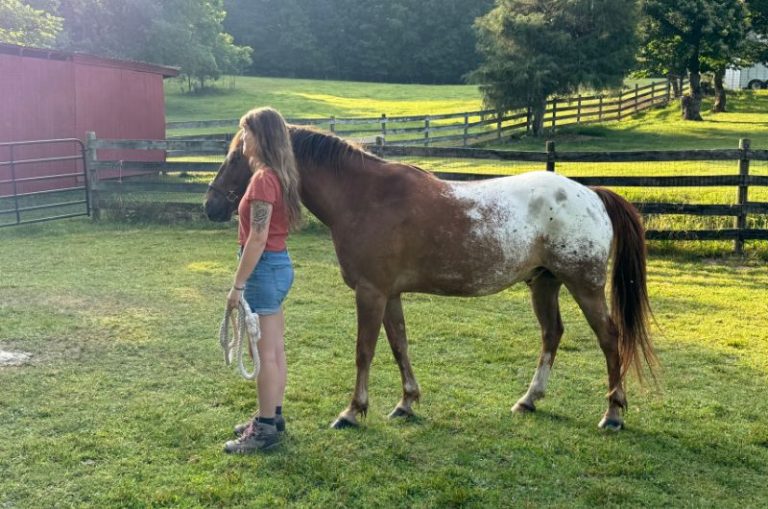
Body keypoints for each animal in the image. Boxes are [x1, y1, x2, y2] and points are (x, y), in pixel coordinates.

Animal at [204, 125, 656, 431]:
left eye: (237, 157)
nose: (210, 205)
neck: (364, 197)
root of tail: (593, 194)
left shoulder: (370, 292)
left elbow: (364, 351)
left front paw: (352, 410)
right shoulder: (389, 294)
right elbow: (399, 345)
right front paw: (406, 402)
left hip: (585, 286)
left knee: (609, 339)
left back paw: (613, 413)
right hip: (544, 283)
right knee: (552, 334)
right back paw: (529, 400)